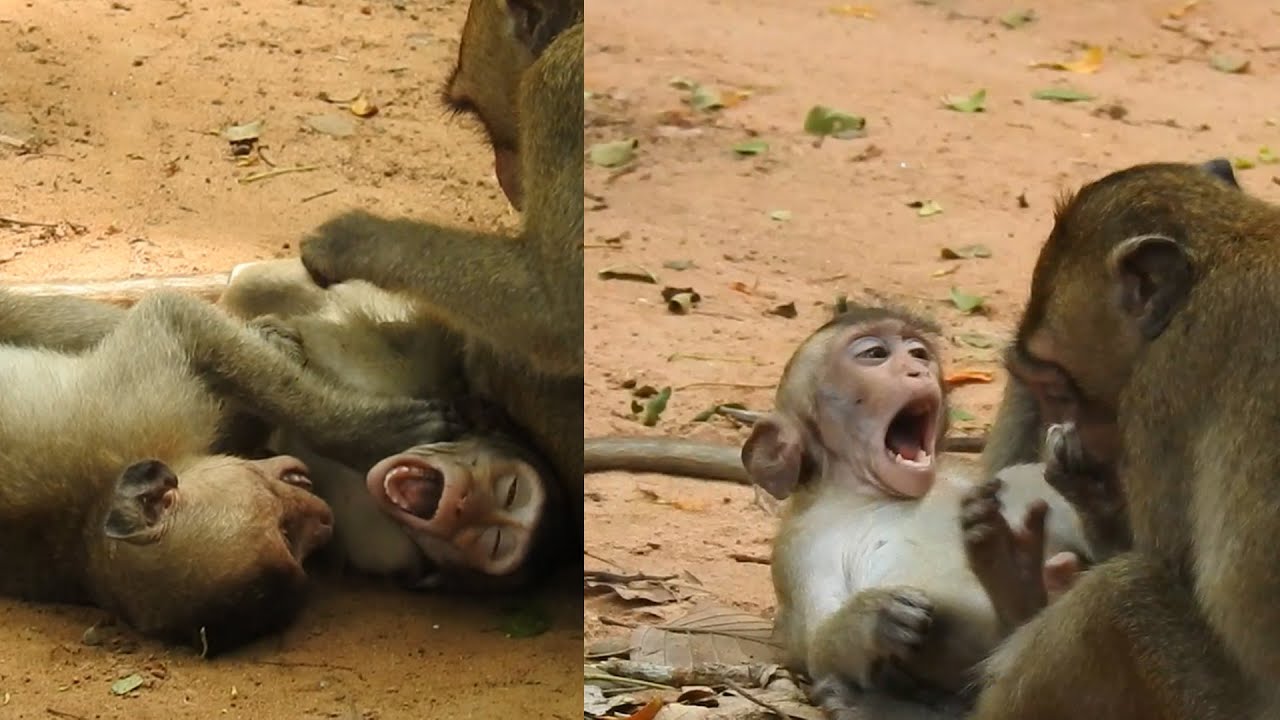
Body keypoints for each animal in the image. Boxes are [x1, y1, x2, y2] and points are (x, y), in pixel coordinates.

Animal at [0, 288, 463, 654]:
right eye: (290, 538)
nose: (324, 516)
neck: (85, 520)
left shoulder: (135, 416)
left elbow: (170, 314)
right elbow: (176, 322)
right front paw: (364, 434)